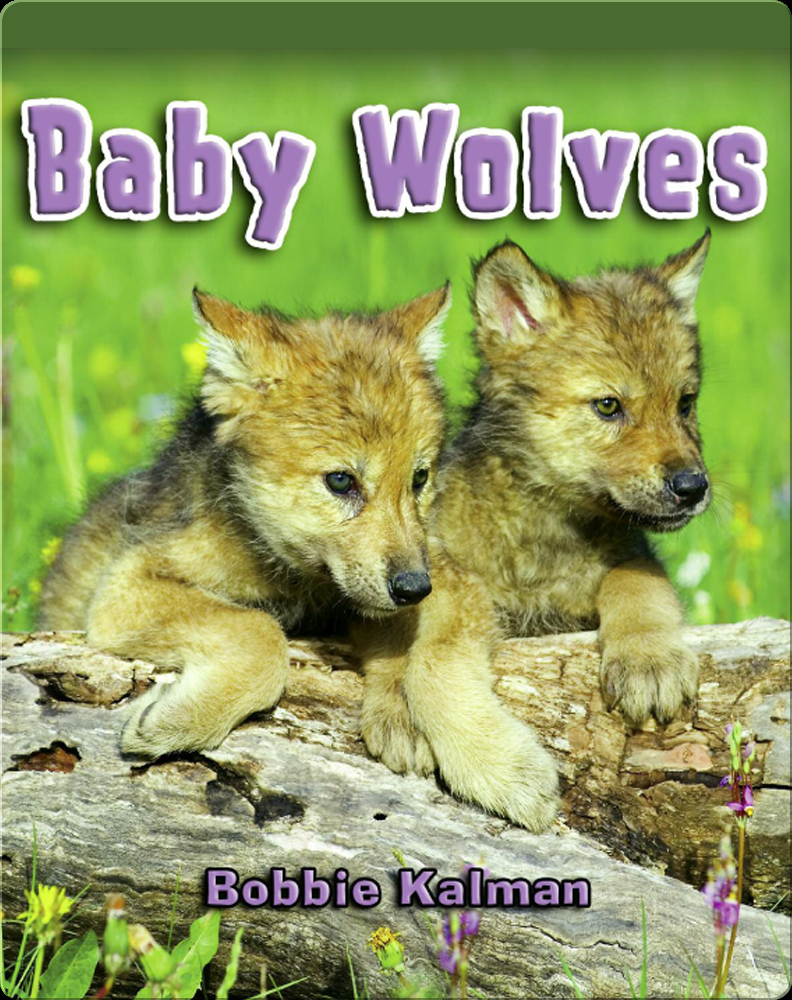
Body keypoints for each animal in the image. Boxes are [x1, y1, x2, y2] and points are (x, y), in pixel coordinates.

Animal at [39, 284, 454, 757]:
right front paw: (180, 722)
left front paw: (402, 712)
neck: (290, 578)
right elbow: (260, 630)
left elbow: (406, 633)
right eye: (341, 480)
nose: (413, 587)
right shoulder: (127, 584)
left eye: (419, 478)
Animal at [433, 233, 712, 726]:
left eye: (684, 403)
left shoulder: (633, 557)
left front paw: (650, 660)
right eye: (608, 406)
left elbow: (635, 580)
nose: (692, 487)